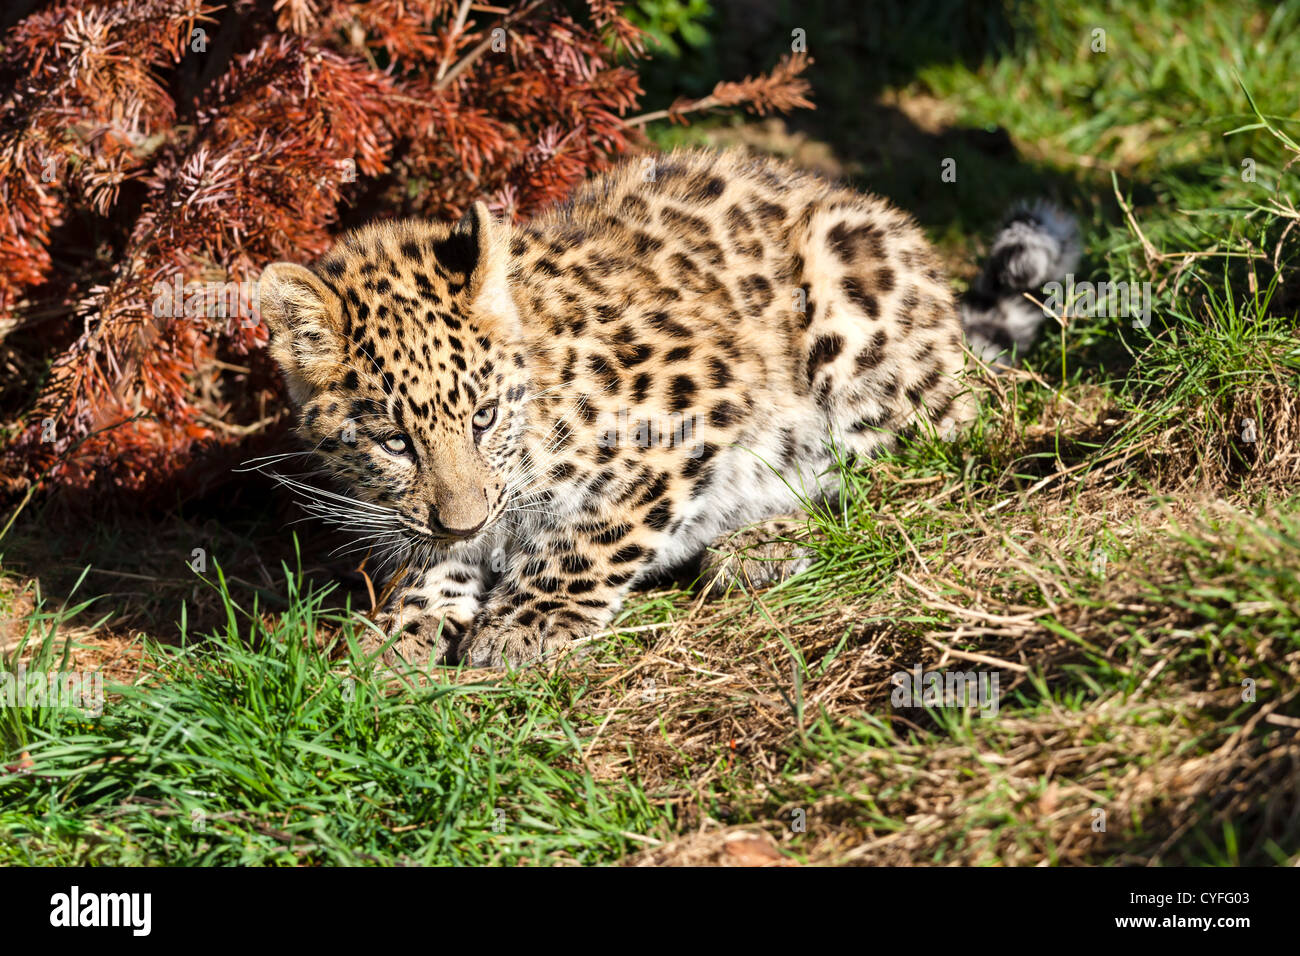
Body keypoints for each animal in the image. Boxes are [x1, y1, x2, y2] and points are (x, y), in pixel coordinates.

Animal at [257, 148, 1078, 669]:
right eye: (394, 443)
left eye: (485, 417)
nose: (464, 523)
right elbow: (436, 560)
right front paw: (403, 625)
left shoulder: (696, 400)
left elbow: (596, 531)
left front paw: (526, 621)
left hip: (851, 308)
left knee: (921, 458)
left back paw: (764, 539)